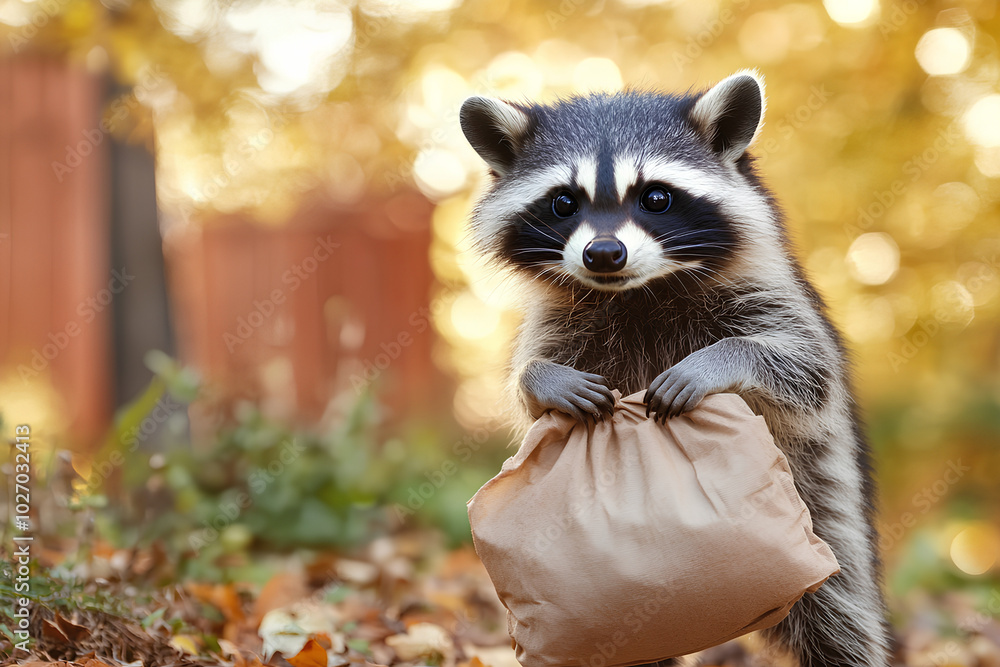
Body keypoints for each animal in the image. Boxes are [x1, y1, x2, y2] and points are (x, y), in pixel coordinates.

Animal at [459, 71, 891, 667]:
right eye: (564, 202)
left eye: (656, 197)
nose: (603, 253)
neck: (638, 293)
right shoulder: (562, 317)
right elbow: (526, 383)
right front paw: (543, 380)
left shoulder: (772, 295)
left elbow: (807, 368)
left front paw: (720, 360)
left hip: (824, 499)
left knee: (839, 613)